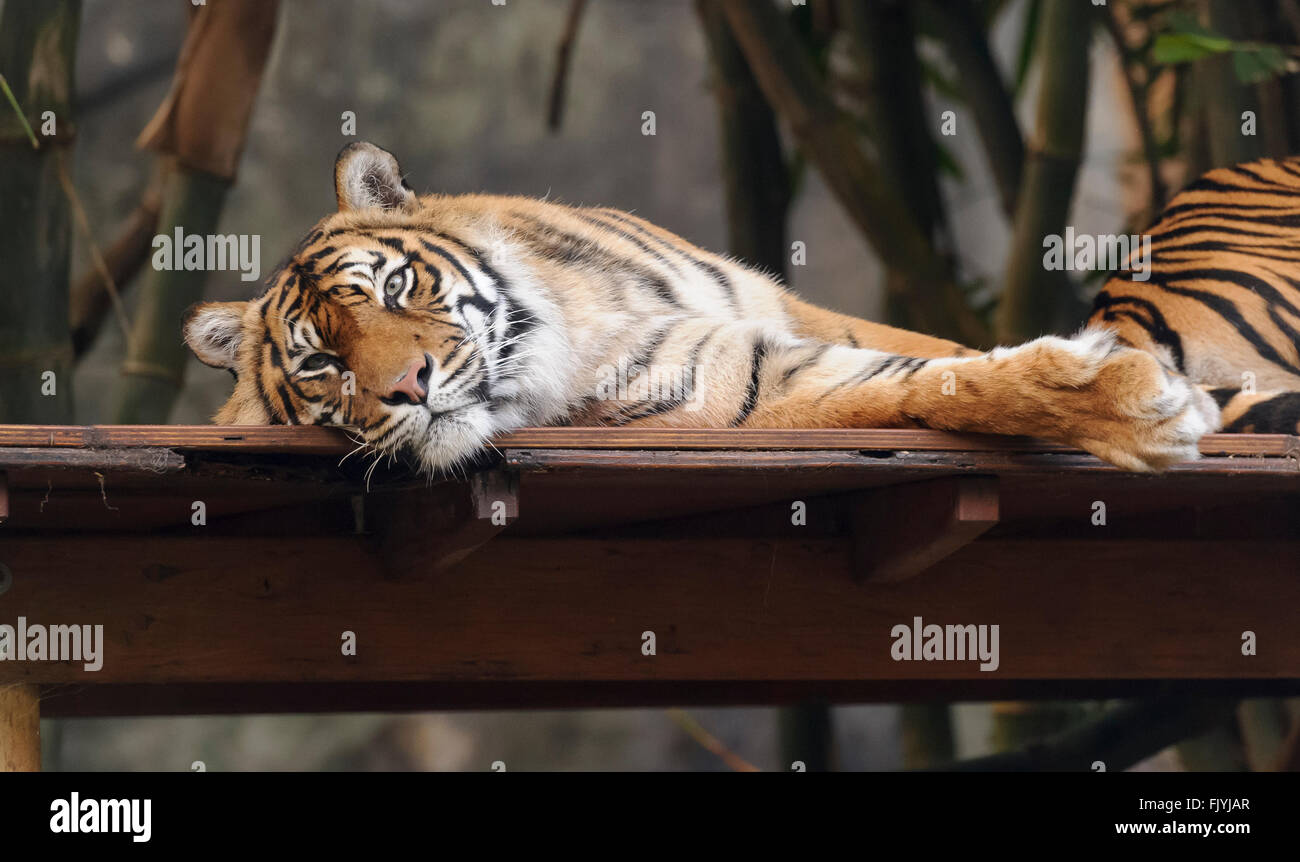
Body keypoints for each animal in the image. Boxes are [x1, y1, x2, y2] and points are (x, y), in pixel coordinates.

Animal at [183, 141, 1221, 475]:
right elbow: (940, 385)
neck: (573, 318)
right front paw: (1140, 405)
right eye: (322, 364)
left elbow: (932, 348)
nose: (408, 388)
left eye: (394, 291)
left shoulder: (786, 307)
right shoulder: (745, 386)